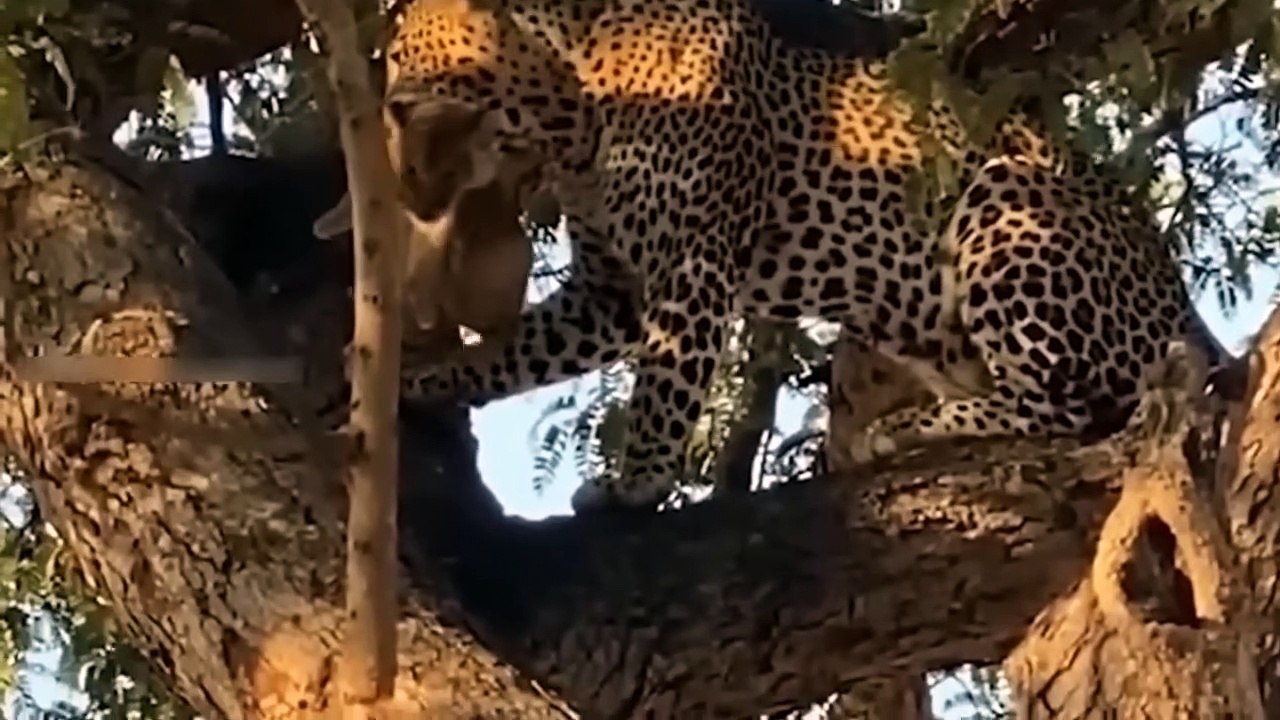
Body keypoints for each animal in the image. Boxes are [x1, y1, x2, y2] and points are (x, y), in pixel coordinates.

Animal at [384, 0, 1228, 514]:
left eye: (399, 53)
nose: (386, 105)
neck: (567, 105)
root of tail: (1193, 324)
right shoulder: (609, 291)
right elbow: (516, 349)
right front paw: (424, 378)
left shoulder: (689, 266)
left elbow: (664, 388)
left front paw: (637, 484)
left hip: (1007, 205)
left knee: (1075, 409)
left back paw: (916, 426)